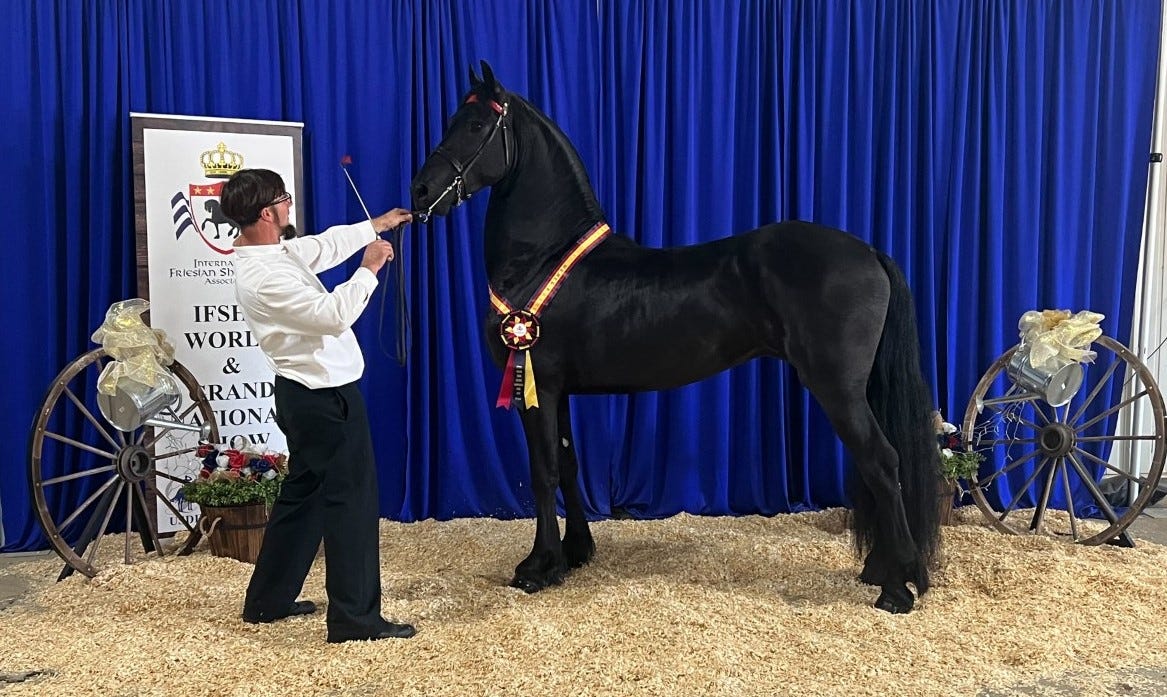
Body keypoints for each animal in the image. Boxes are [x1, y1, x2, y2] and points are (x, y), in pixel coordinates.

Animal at [410, 62, 941, 613]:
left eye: (475, 125)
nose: (420, 192)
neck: (543, 258)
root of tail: (869, 251)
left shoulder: (541, 385)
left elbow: (543, 471)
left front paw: (538, 567)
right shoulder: (560, 390)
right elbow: (569, 465)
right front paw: (576, 553)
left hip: (837, 388)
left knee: (881, 461)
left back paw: (897, 588)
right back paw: (879, 570)